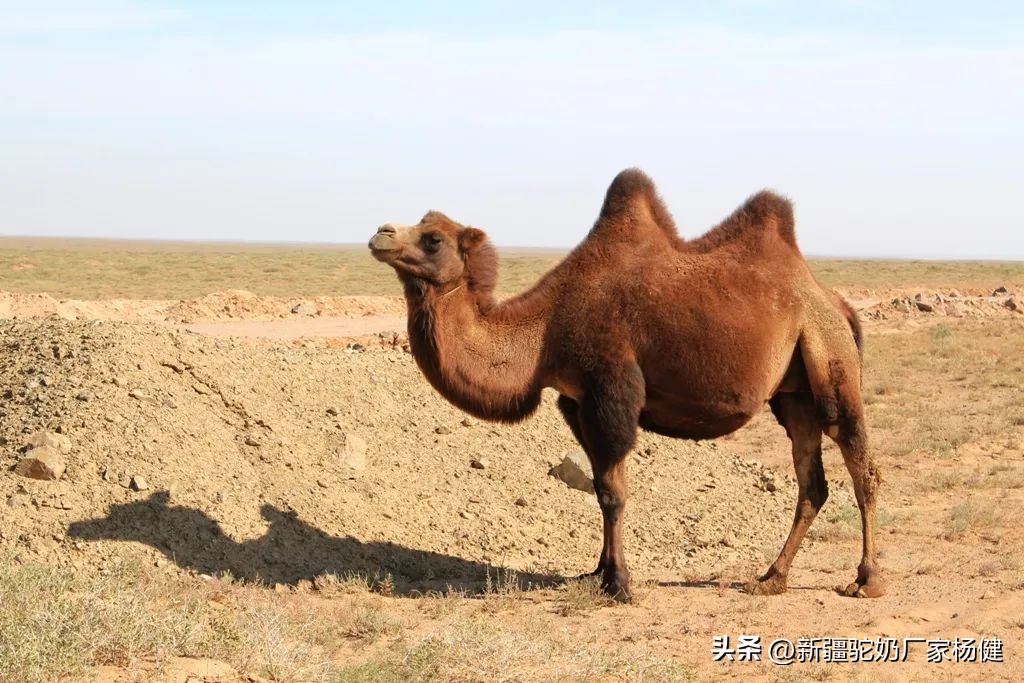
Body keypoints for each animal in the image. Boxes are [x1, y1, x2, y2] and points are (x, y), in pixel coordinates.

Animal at [368, 169, 883, 602]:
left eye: (433, 238)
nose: (380, 233)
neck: (546, 331)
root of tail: (836, 301)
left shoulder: (609, 390)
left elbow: (615, 493)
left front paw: (620, 584)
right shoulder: (576, 401)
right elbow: (600, 487)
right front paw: (596, 573)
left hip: (830, 356)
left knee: (860, 463)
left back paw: (866, 581)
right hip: (793, 393)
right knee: (812, 481)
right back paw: (772, 577)